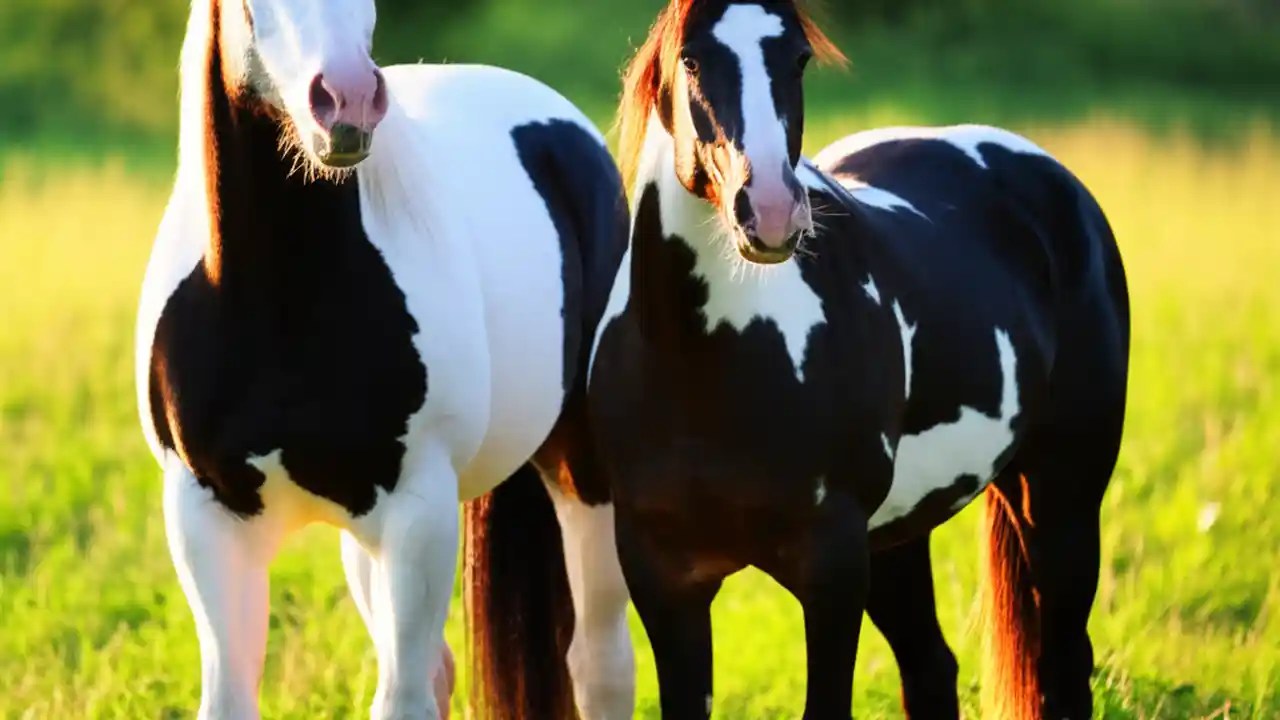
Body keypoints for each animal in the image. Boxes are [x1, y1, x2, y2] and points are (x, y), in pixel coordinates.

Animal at [134, 1, 636, 717]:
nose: (346, 101)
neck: (277, 293)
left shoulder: (418, 511)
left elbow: (402, 699)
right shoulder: (206, 515)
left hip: (582, 473)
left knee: (599, 665)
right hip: (361, 539)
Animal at [586, 1, 1130, 717]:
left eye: (798, 58)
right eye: (692, 60)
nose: (772, 212)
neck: (706, 365)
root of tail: (1054, 181)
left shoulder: (833, 568)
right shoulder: (664, 580)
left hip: (1059, 501)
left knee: (1065, 666)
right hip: (899, 536)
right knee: (932, 669)